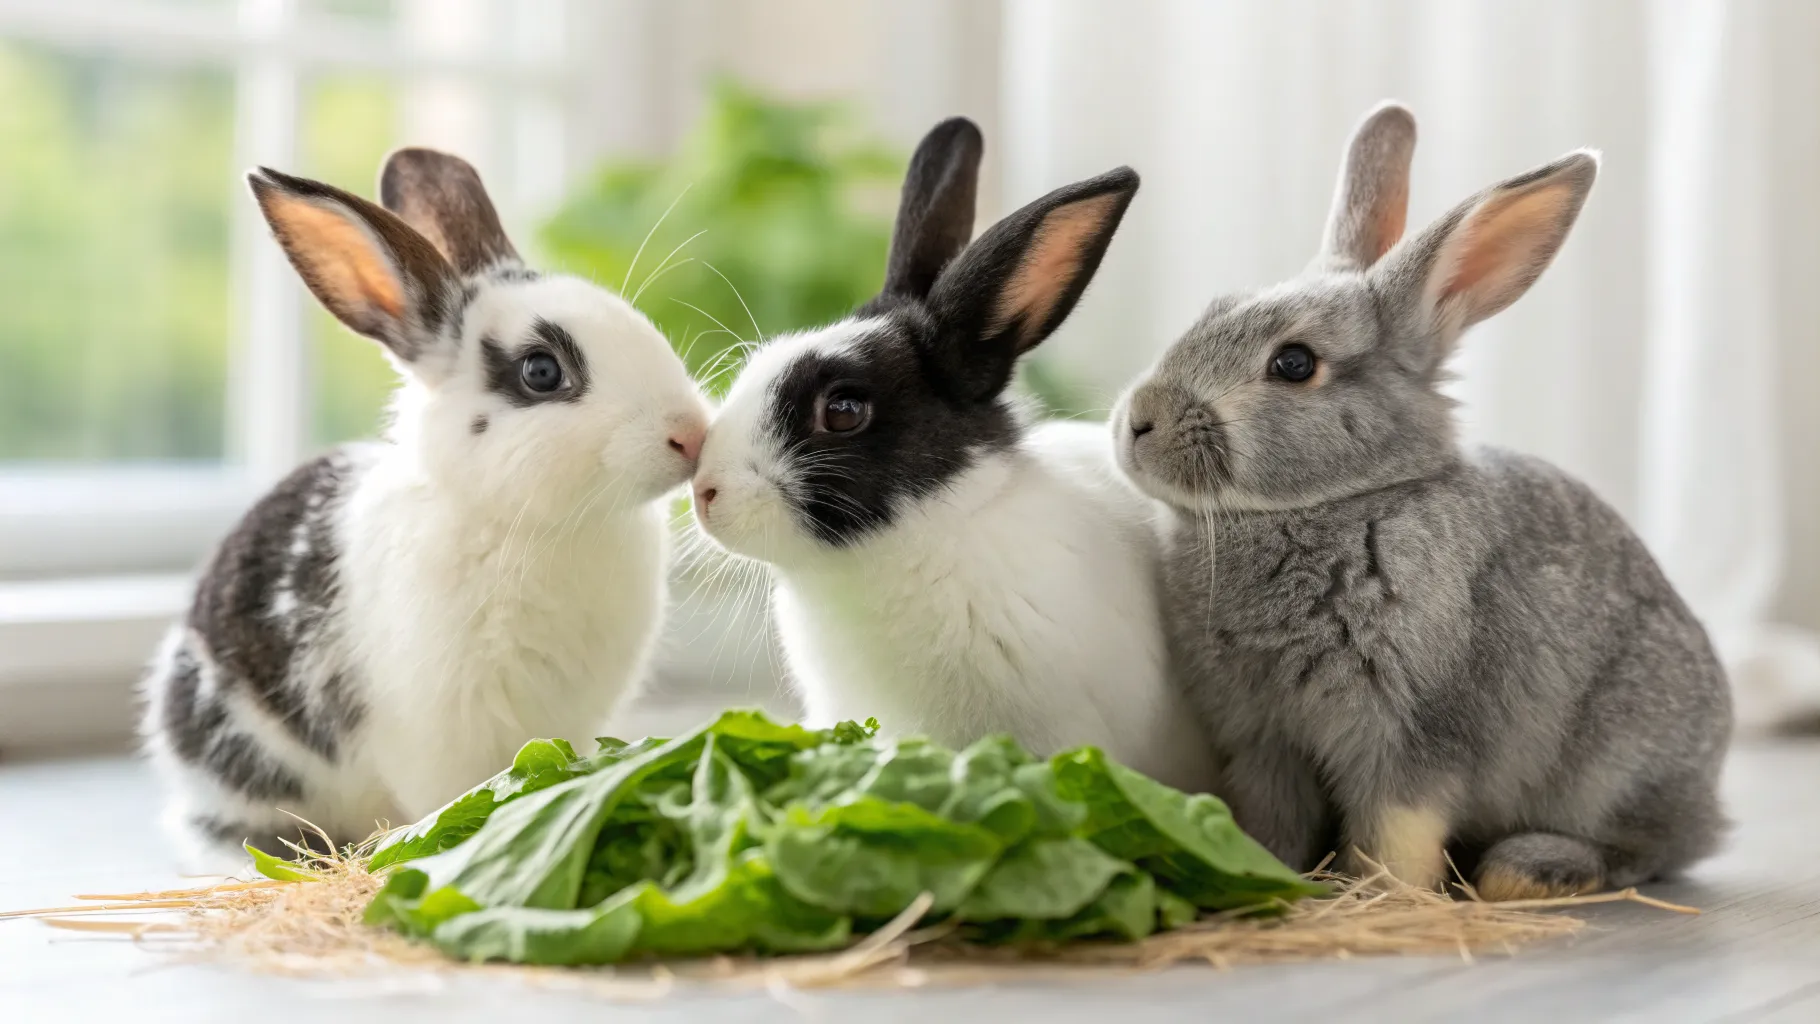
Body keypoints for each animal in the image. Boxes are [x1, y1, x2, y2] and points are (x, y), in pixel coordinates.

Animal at [1112, 102, 1732, 899]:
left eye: (1294, 363)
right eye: (1214, 309)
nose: (1137, 422)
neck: (1342, 500)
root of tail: (1711, 789)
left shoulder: (1413, 731)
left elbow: (1395, 830)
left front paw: (1380, 893)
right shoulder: (1263, 740)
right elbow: (1272, 820)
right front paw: (1267, 875)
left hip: (1619, 762)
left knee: (1644, 848)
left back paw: (1523, 874)